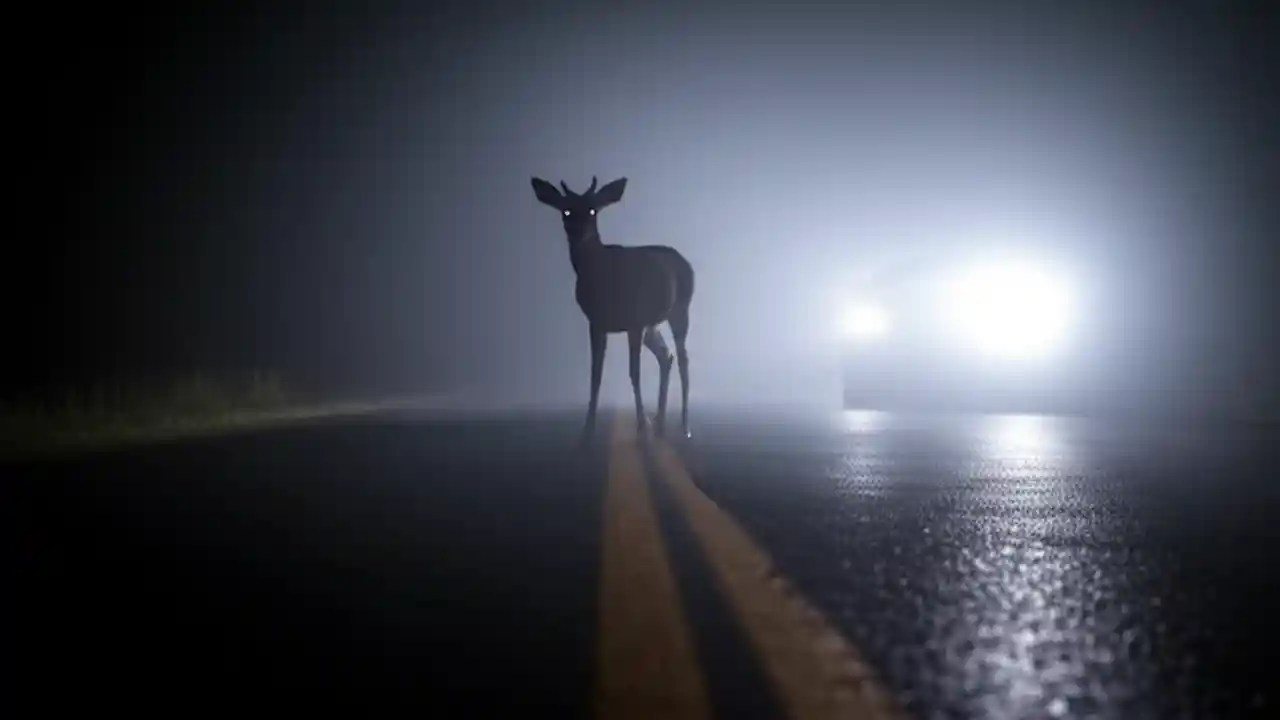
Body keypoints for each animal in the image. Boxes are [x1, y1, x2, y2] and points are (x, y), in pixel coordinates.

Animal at [531, 175, 694, 442]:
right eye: (566, 210)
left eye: (593, 210)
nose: (578, 231)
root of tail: (684, 261)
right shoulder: (596, 322)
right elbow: (595, 375)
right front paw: (587, 429)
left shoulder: (634, 320)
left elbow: (634, 372)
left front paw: (641, 427)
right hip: (652, 323)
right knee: (665, 355)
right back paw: (659, 422)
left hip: (679, 310)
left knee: (683, 360)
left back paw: (683, 427)